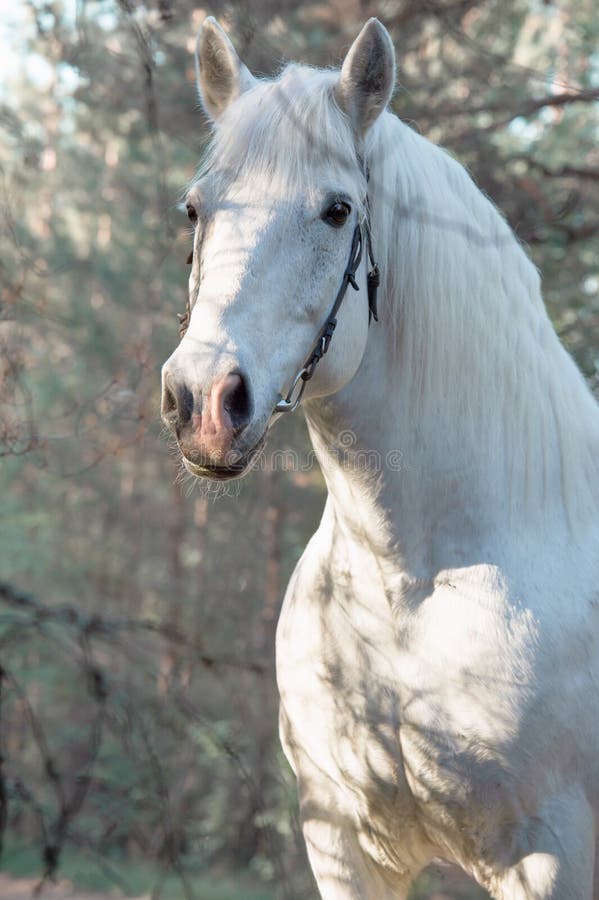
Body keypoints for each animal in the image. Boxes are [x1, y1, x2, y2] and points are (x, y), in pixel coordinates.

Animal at [161, 17, 599, 899]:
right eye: (195, 209)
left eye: (337, 211)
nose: (202, 403)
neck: (411, 585)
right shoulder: (340, 842)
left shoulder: (550, 855)